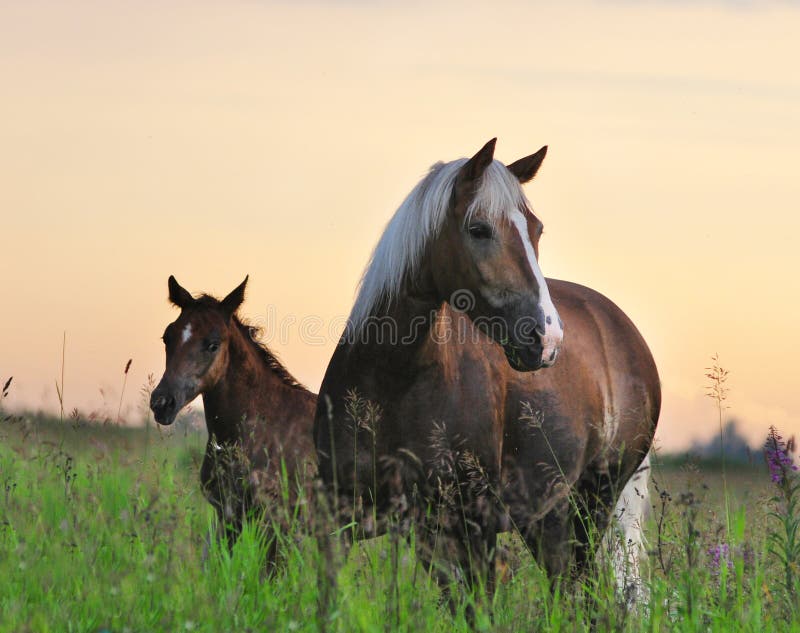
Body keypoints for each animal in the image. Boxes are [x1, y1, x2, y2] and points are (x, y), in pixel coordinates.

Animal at [313, 139, 659, 609]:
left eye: (536, 229)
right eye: (479, 229)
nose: (546, 338)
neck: (391, 383)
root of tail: (621, 327)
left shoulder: (474, 526)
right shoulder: (345, 517)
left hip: (594, 503)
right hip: (547, 516)